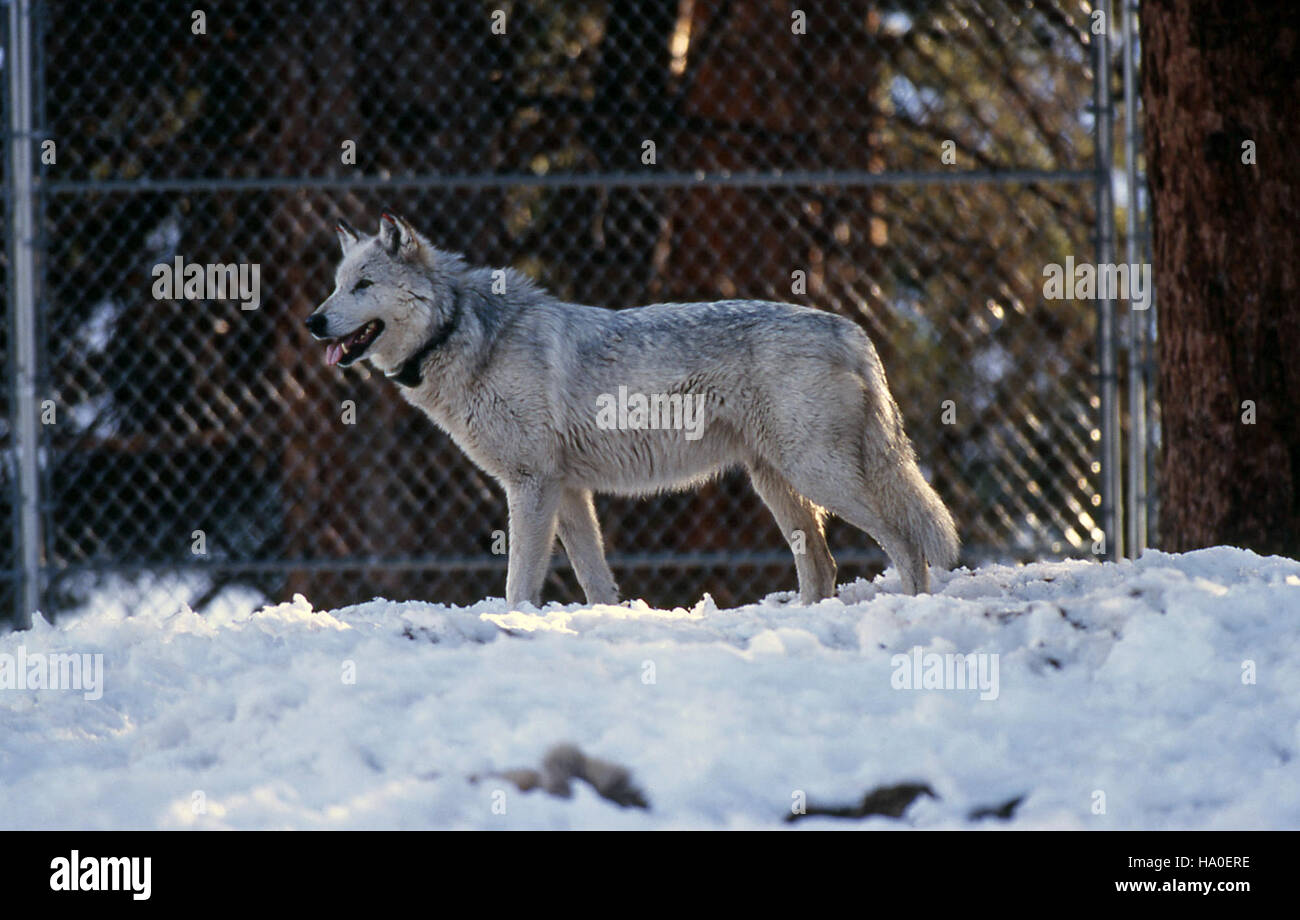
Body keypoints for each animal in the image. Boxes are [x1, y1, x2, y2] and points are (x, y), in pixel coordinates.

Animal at [307, 213, 959, 607]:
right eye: (336, 284)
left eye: (363, 285)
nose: (312, 321)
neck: (462, 331)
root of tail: (850, 329)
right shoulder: (567, 490)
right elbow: (597, 581)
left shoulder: (532, 485)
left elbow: (520, 581)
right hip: (779, 485)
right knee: (822, 566)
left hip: (819, 476)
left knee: (905, 540)